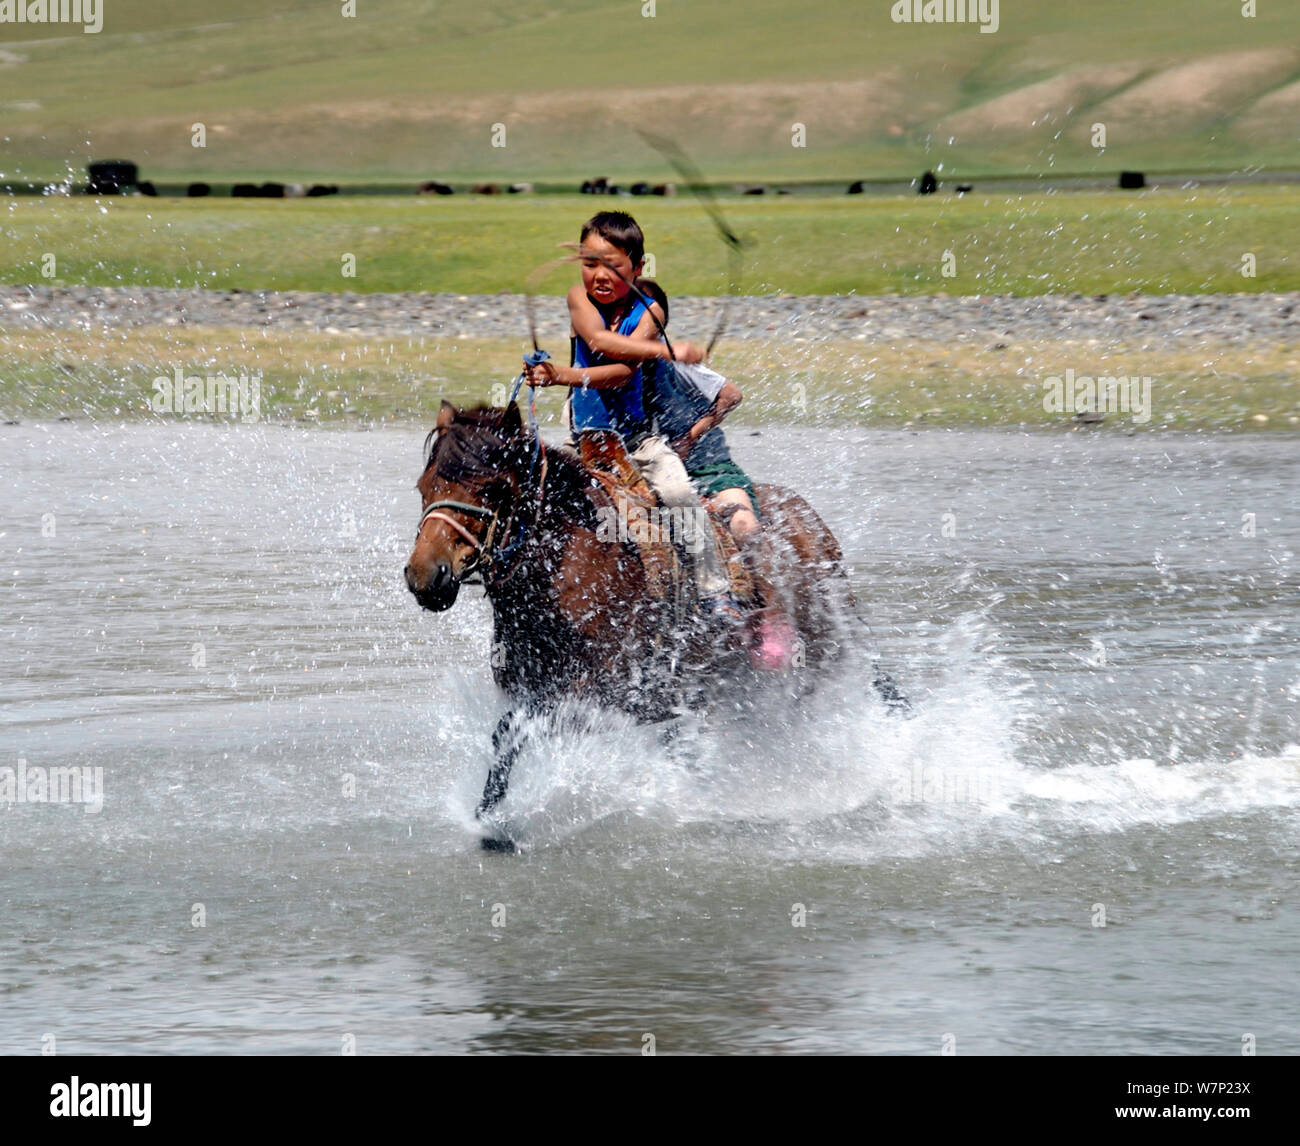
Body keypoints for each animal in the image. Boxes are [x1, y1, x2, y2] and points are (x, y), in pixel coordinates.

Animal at [404, 400, 901, 849]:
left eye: (492, 488)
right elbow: (506, 737)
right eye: (424, 486)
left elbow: (515, 729)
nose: (427, 576)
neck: (574, 573)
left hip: (815, 659)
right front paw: (489, 820)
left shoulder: (601, 697)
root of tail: (810, 522)